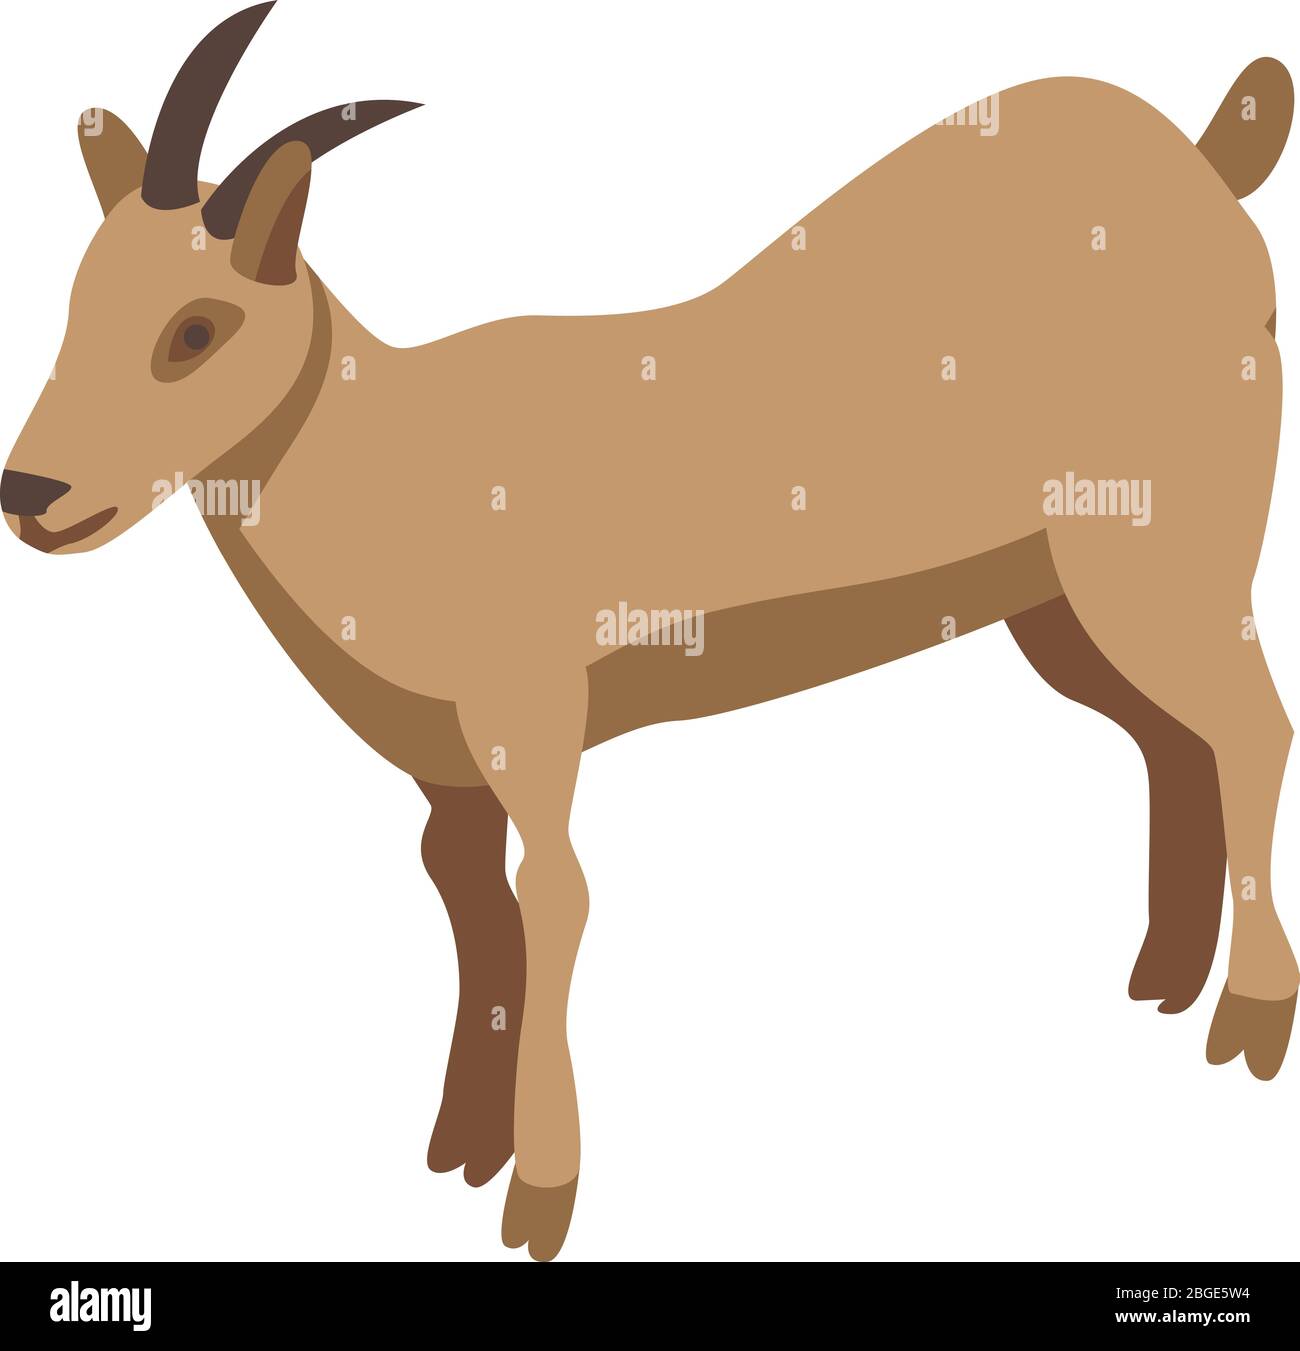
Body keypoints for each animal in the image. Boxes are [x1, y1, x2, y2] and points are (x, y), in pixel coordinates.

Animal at [3, 2, 1296, 1261]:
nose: (31, 494)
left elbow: (557, 898)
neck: (391, 456)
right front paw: (458, 1150)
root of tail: (1204, 162)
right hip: (1058, 597)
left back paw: (1246, 1021)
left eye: (196, 329)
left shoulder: (534, 718)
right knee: (1170, 737)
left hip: (1166, 552)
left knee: (1252, 725)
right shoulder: (448, 770)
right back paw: (1162, 981)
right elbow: (473, 908)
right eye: (71, 303)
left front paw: (539, 1195)